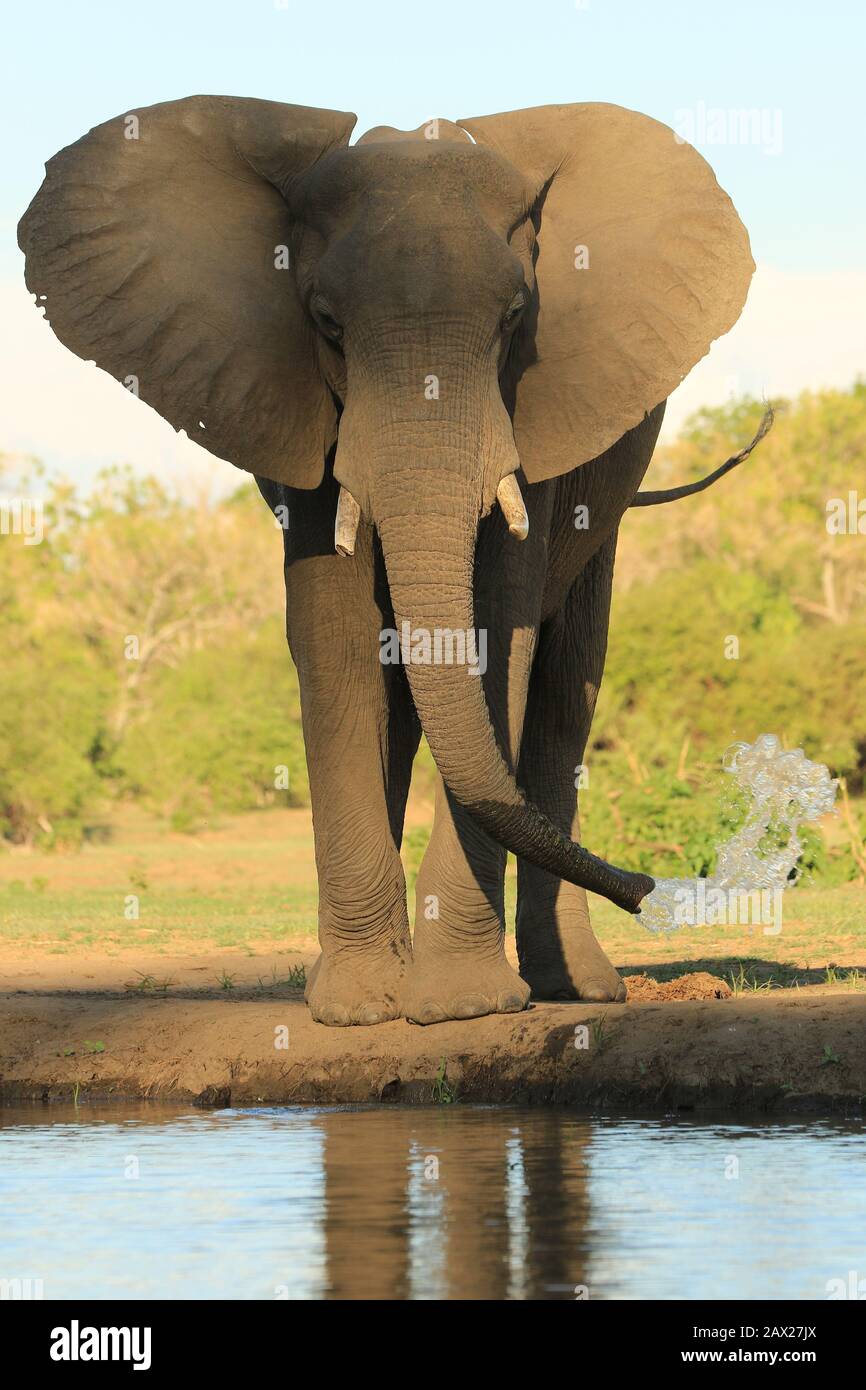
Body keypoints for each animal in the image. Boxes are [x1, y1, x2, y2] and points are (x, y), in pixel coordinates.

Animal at [19, 96, 763, 1026]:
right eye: (327, 323)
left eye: (515, 318)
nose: (648, 886)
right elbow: (335, 636)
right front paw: (360, 1008)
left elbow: (499, 639)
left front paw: (461, 1007)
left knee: (566, 685)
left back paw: (576, 989)